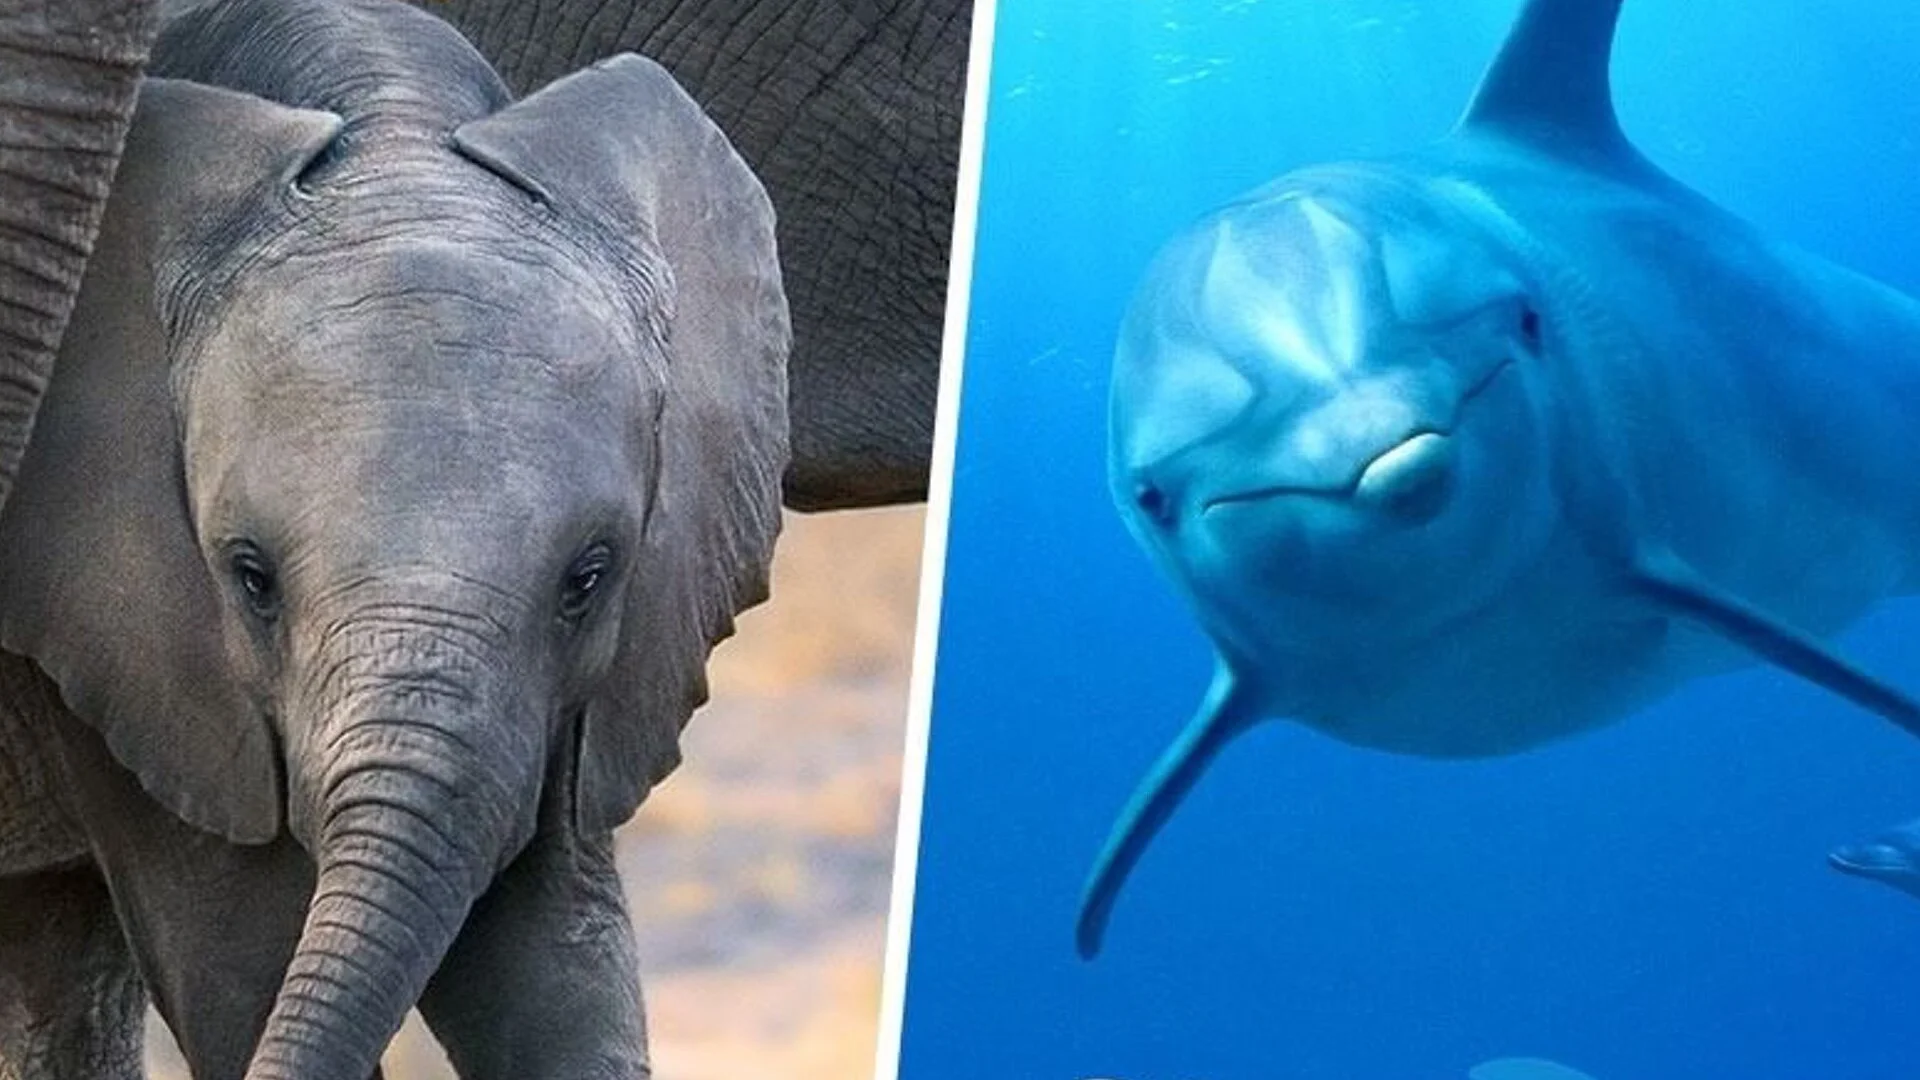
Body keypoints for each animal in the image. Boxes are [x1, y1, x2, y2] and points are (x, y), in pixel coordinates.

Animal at [0, 0, 940, 1075]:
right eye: (250, 579)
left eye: (588, 579)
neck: (391, 137)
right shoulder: (142, 629)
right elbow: (240, 966)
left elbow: (552, 971)